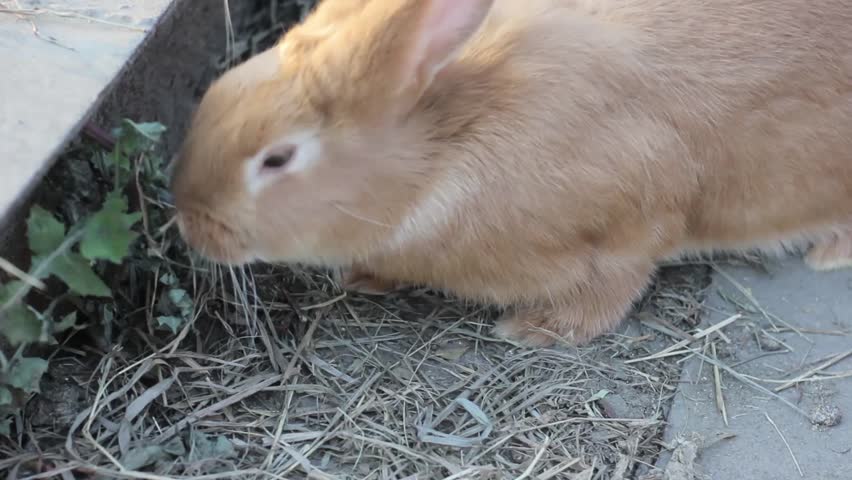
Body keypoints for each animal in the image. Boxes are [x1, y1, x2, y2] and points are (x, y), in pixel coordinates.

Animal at [170, 0, 852, 347]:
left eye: (277, 159)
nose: (190, 226)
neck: (445, 149)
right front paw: (362, 278)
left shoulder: (628, 224)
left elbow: (613, 289)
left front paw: (531, 329)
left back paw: (827, 254)